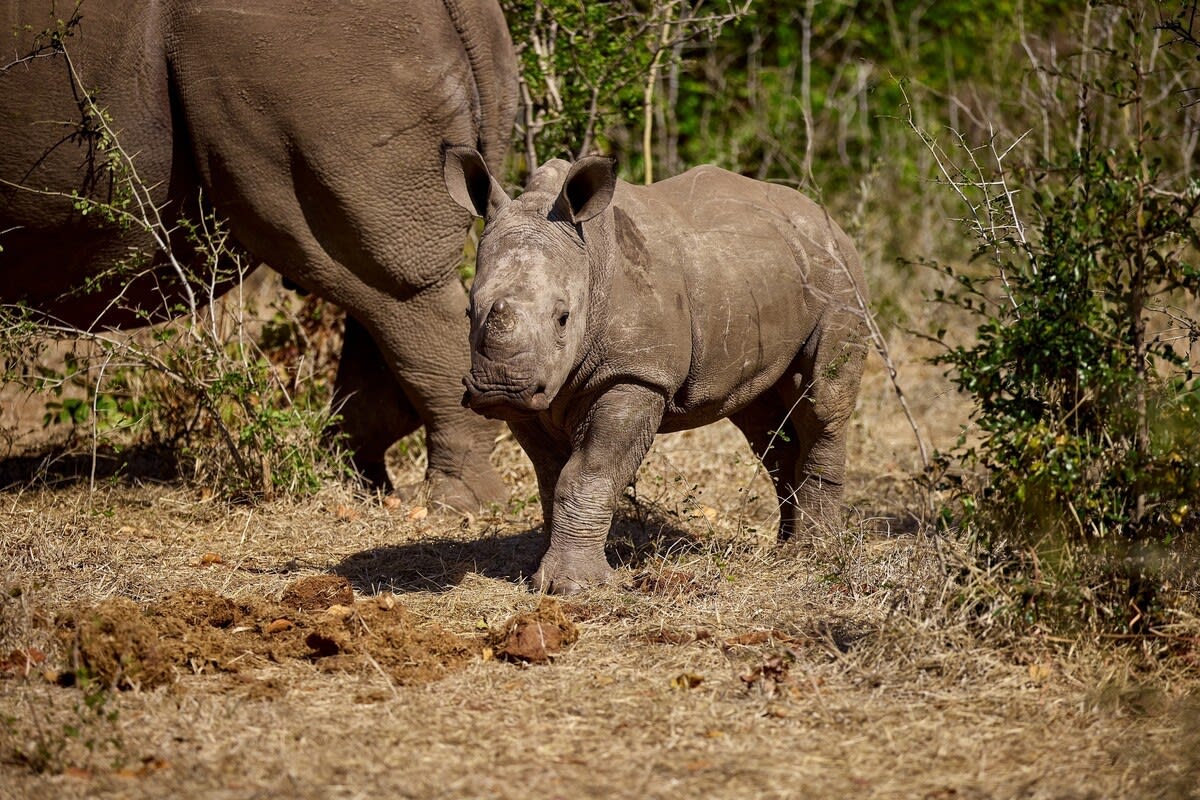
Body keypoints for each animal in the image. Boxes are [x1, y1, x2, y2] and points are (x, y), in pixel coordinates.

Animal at [443, 147, 870, 594]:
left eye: (563, 318)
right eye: (469, 312)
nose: (500, 387)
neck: (589, 260)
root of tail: (827, 219)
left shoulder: (636, 373)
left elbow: (589, 472)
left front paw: (576, 586)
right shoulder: (535, 398)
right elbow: (550, 476)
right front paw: (540, 575)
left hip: (839, 277)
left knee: (820, 404)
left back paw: (812, 553)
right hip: (759, 275)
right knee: (763, 423)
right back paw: (785, 547)